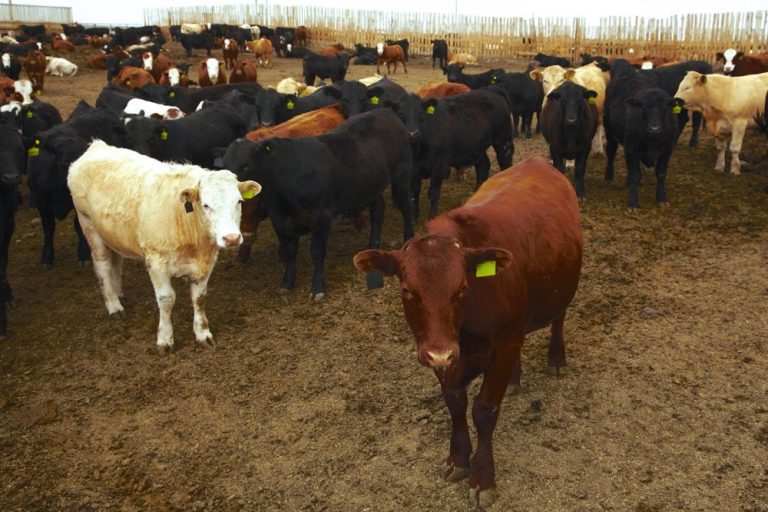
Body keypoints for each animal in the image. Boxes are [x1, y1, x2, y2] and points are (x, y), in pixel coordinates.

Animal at [27, 106, 127, 266]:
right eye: (65, 161)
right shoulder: (41, 201)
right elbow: (48, 228)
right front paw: (47, 257)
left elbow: (78, 226)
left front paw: (83, 255)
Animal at [68, 140, 260, 354]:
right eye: (206, 205)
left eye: (239, 201)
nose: (231, 238)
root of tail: (97, 146)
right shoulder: (156, 262)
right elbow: (167, 299)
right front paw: (165, 339)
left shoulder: (206, 262)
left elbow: (199, 298)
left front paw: (203, 334)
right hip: (89, 225)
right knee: (102, 264)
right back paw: (113, 305)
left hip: (114, 234)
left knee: (116, 261)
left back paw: (119, 295)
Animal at [221, 108, 415, 299]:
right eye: (224, 165)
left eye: (245, 165)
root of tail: (385, 111)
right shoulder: (282, 219)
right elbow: (291, 253)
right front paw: (287, 283)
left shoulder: (321, 215)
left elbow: (317, 251)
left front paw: (317, 287)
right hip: (371, 187)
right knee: (378, 211)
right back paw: (372, 246)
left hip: (402, 175)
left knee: (406, 207)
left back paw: (408, 239)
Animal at [353, 155, 583, 509]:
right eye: (407, 290)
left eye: (462, 288)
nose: (440, 352)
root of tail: (537, 161)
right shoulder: (447, 354)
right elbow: (455, 402)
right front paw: (458, 458)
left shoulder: (502, 345)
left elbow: (484, 410)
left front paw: (482, 478)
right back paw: (514, 379)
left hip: (561, 290)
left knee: (559, 318)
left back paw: (556, 359)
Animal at [604, 62, 682, 207]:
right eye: (644, 108)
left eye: (665, 108)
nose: (654, 128)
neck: (653, 140)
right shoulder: (631, 148)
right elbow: (634, 174)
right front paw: (633, 202)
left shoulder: (667, 150)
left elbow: (661, 173)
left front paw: (662, 198)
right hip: (609, 131)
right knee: (611, 153)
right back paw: (608, 177)